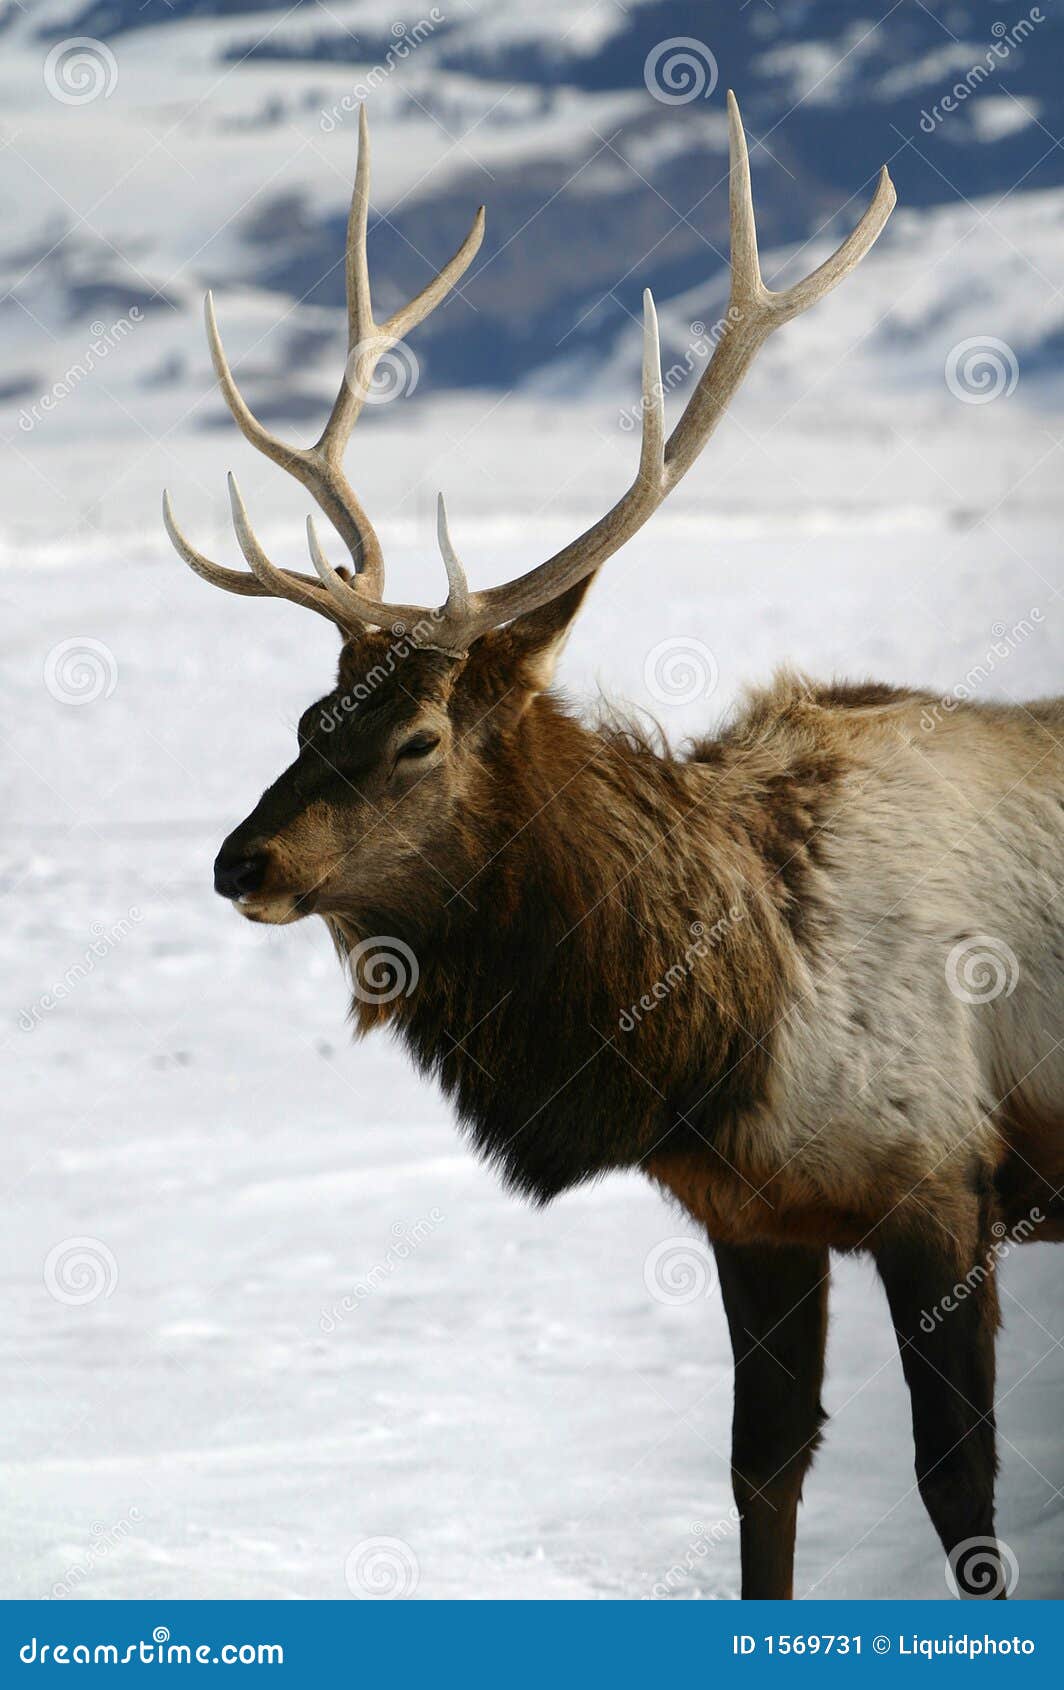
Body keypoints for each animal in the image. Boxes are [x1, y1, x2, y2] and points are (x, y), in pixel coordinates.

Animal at [163, 93, 1064, 1601]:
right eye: (307, 713)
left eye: (418, 740)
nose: (242, 862)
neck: (731, 1023)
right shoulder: (757, 1217)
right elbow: (761, 1479)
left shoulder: (940, 1185)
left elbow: (963, 1500)